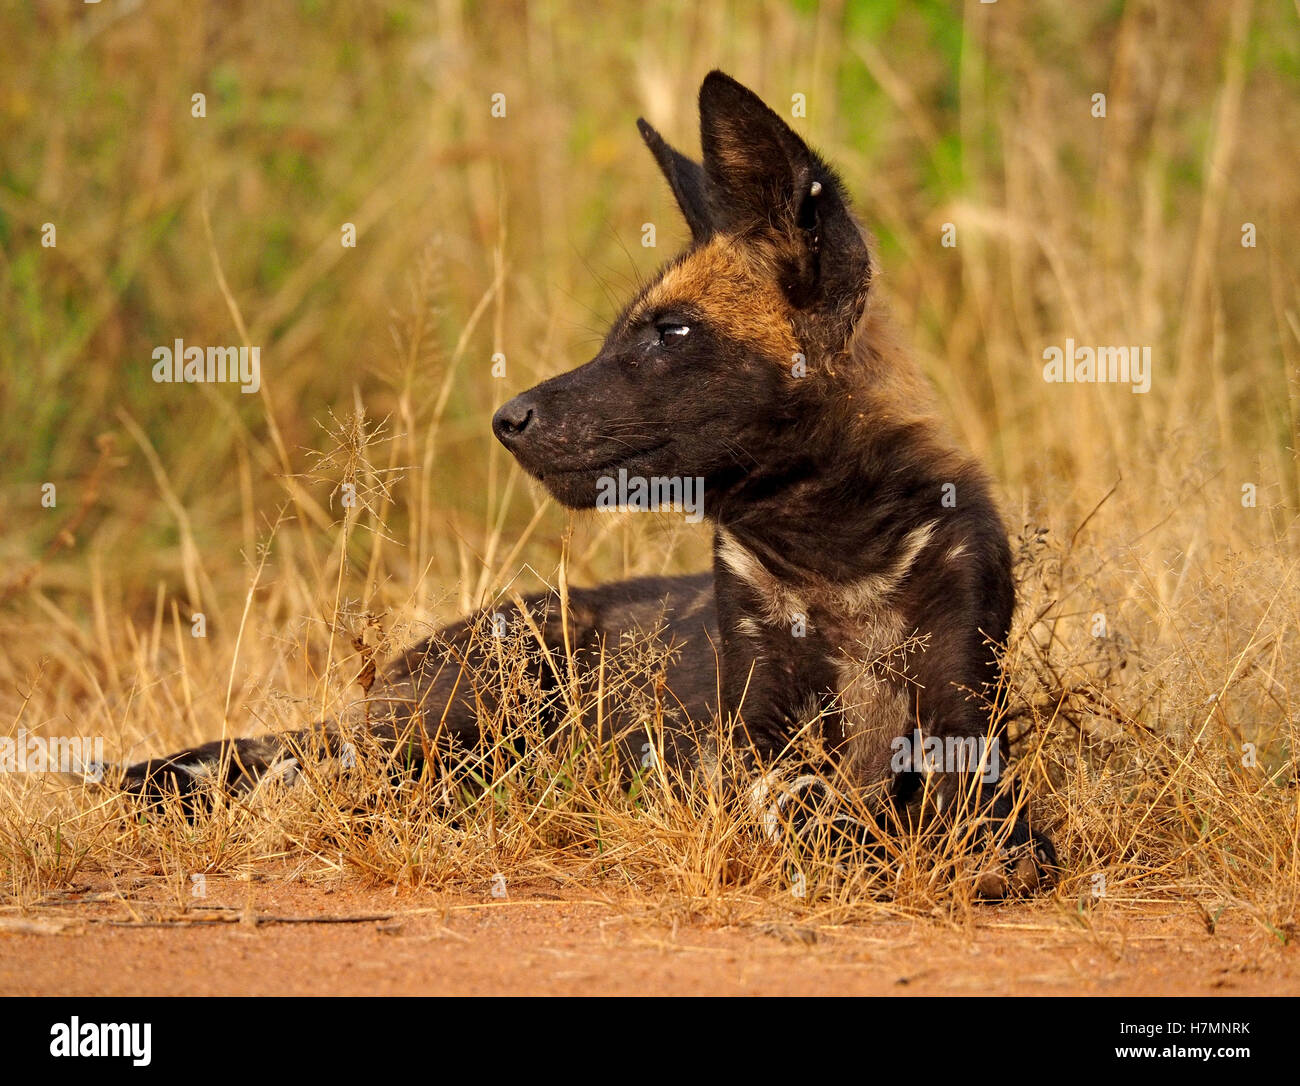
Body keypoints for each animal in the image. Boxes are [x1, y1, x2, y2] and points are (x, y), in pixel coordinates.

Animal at [119, 72, 1055, 895]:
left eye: (670, 332)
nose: (509, 418)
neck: (832, 551)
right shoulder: (754, 756)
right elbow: (819, 813)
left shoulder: (969, 745)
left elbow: (992, 840)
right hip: (470, 707)